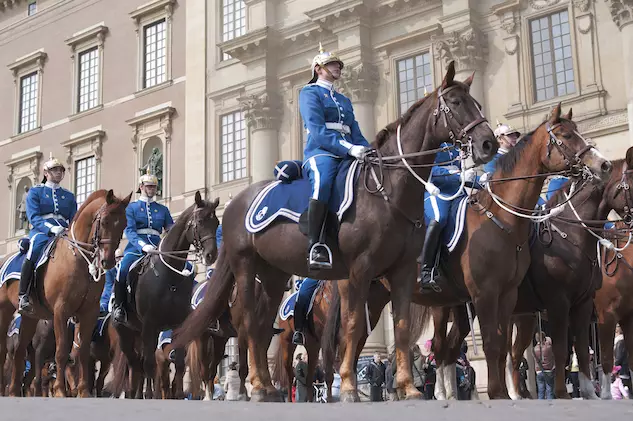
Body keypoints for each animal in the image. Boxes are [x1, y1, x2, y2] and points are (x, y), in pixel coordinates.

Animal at [0, 189, 131, 396]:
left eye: (124, 224)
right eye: (104, 221)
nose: (108, 262)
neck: (79, 260)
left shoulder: (88, 312)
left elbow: (82, 352)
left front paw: (84, 391)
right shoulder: (61, 310)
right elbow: (61, 351)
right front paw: (60, 390)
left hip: (29, 316)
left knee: (20, 351)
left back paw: (13, 391)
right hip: (4, 310)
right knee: (4, 351)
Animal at [107, 192, 218, 398]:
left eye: (216, 223)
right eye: (199, 221)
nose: (211, 255)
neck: (170, 278)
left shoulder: (178, 325)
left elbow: (180, 364)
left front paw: (179, 394)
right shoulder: (150, 325)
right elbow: (150, 365)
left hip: (139, 334)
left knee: (139, 365)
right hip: (126, 333)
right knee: (136, 365)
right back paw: (136, 393)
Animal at [172, 60, 498, 400]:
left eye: (476, 103)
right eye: (456, 102)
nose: (489, 144)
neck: (388, 190)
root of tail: (237, 201)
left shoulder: (403, 271)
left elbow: (402, 326)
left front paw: (408, 387)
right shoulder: (359, 269)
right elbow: (352, 327)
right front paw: (351, 387)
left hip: (273, 275)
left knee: (261, 328)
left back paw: (267, 386)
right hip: (245, 267)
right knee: (248, 325)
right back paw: (258, 386)